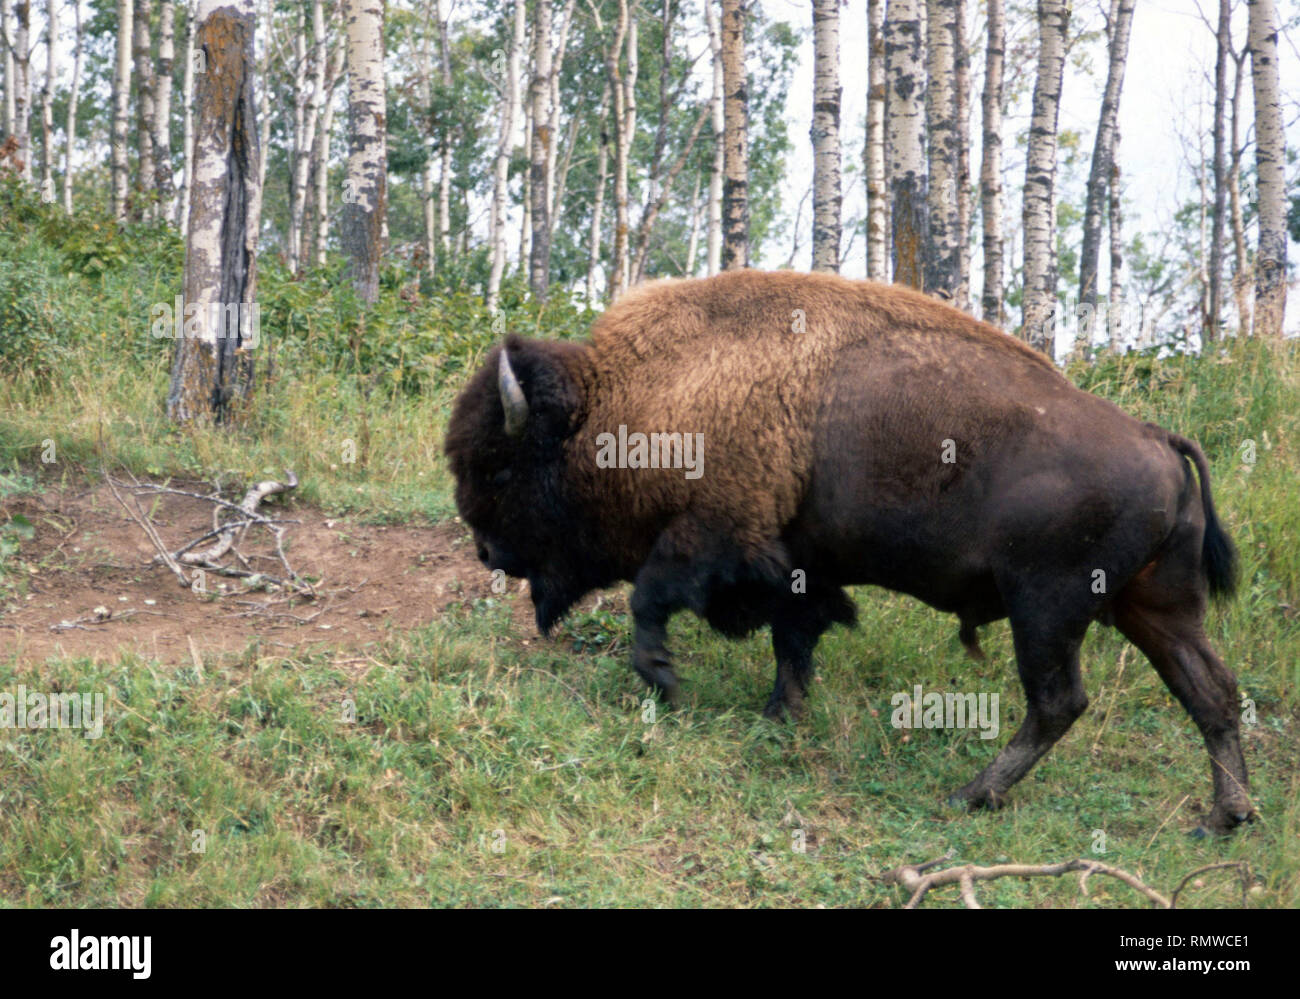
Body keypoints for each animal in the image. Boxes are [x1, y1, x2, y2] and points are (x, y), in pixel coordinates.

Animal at [444, 270, 1253, 833]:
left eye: (502, 468)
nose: (486, 550)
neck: (627, 400)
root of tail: (1157, 437)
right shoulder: (796, 567)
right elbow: (793, 641)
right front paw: (782, 715)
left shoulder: (713, 537)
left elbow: (652, 598)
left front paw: (666, 682)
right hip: (1154, 604)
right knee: (1209, 690)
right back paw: (1224, 817)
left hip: (1048, 609)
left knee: (1060, 702)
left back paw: (970, 794)